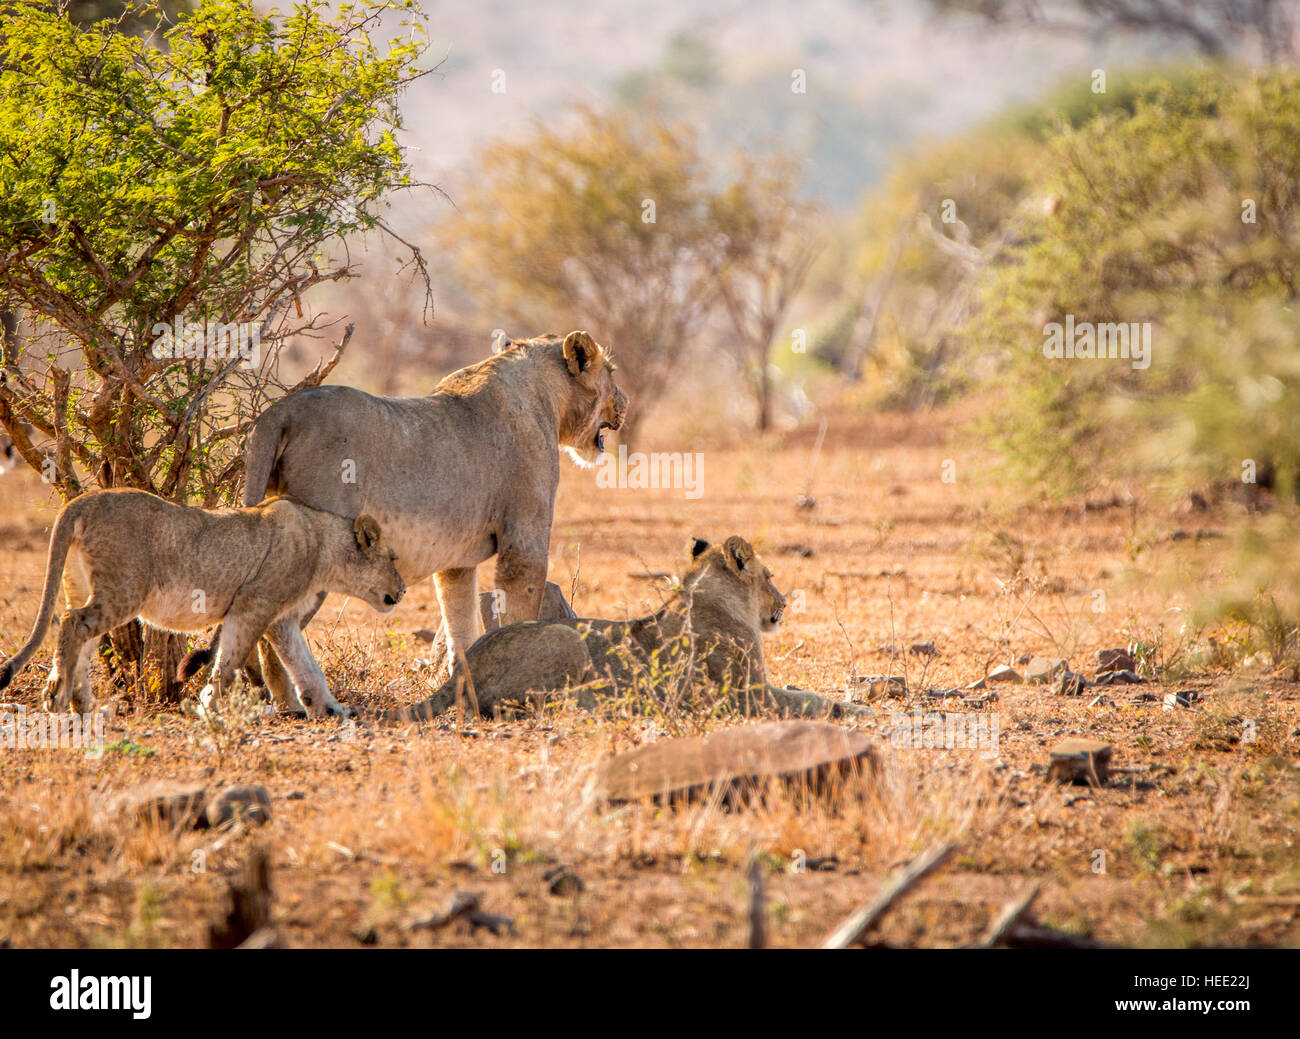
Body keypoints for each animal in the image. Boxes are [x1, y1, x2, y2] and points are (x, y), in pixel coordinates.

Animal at [0, 489, 404, 716]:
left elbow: (306, 666)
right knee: (72, 622)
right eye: (394, 559)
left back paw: (83, 704)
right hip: (123, 590)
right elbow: (228, 664)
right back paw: (57, 696)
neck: (322, 545)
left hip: (88, 588)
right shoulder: (253, 604)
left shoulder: (281, 620)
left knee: (84, 635)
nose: (400, 591)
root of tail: (81, 501)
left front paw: (329, 707)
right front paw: (210, 706)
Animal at [238, 329, 627, 709]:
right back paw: (300, 700)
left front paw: (463, 685)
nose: (624, 400)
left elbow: (460, 624)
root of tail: (279, 412)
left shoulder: (457, 561)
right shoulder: (523, 543)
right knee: (278, 622)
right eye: (611, 371)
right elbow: (520, 612)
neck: (546, 396)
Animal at [372, 536, 867, 723]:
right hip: (567, 638)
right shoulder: (749, 697)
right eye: (769, 577)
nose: (782, 604)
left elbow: (800, 689)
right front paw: (855, 709)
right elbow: (810, 701)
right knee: (533, 704)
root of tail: (462, 668)